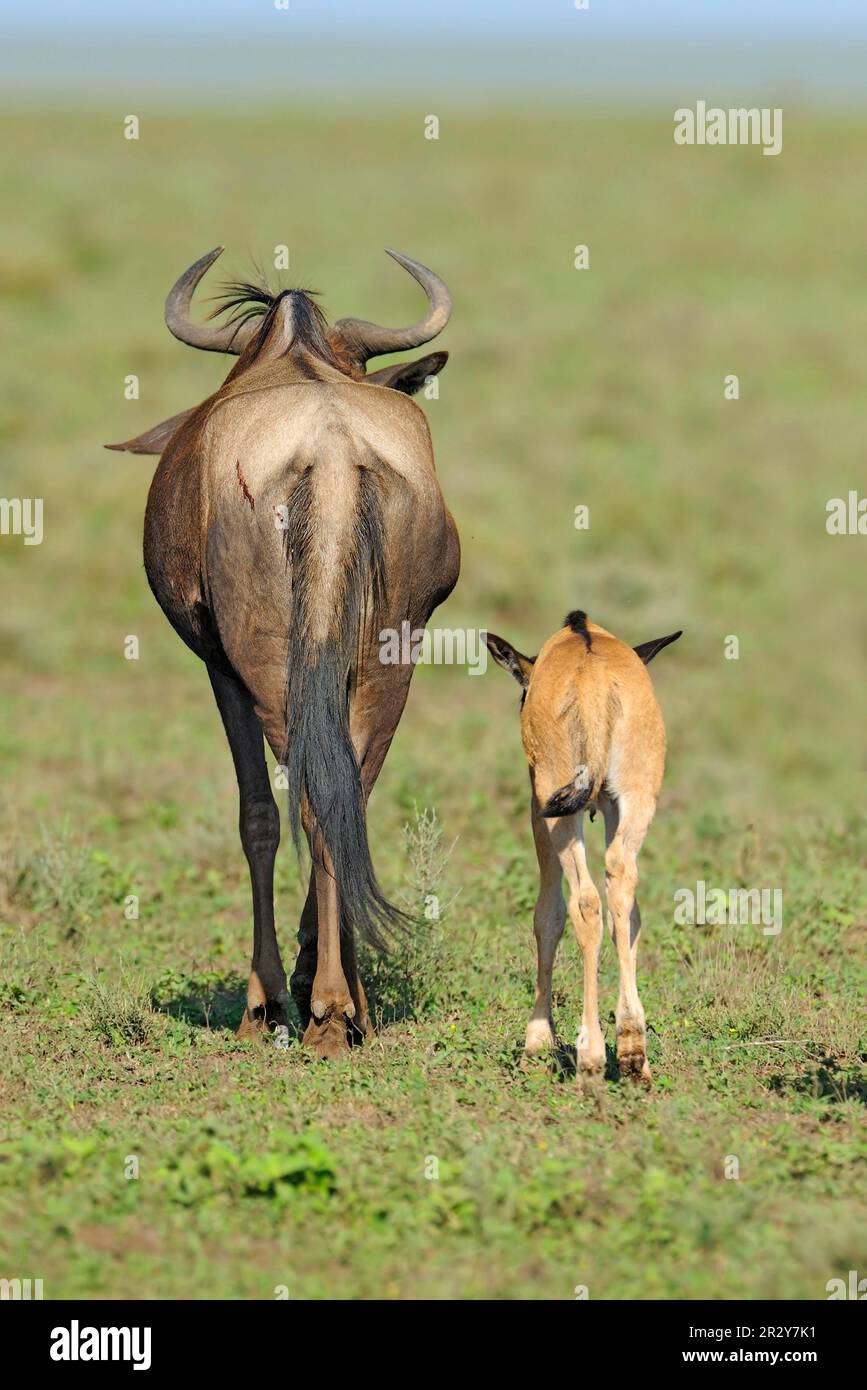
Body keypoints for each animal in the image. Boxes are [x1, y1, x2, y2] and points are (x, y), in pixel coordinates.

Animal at [108, 247, 460, 1057]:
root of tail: (329, 454)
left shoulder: (221, 668)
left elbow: (256, 816)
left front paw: (267, 1001)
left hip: (269, 667)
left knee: (301, 801)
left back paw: (320, 1010)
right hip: (391, 661)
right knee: (345, 795)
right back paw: (349, 1005)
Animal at [486, 611, 681, 1084]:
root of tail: (595, 678)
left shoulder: (539, 809)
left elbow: (548, 914)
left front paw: (537, 1042)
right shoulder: (609, 805)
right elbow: (629, 913)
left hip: (560, 813)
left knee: (586, 902)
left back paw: (590, 1055)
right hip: (636, 798)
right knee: (621, 884)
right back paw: (632, 1051)